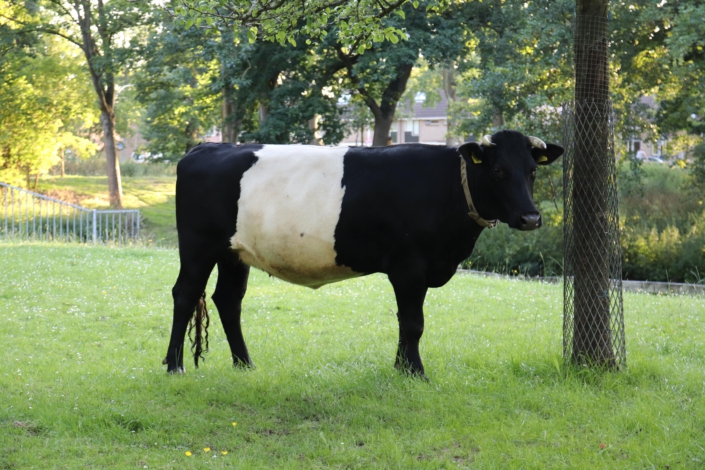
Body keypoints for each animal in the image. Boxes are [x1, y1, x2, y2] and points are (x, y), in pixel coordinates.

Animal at [163, 130, 563, 378]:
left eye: (531, 171)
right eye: (497, 170)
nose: (530, 217)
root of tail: (206, 146)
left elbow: (406, 322)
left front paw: (403, 369)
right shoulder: (409, 266)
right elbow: (413, 322)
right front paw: (414, 372)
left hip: (235, 252)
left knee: (228, 300)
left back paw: (245, 364)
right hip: (198, 245)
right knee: (185, 294)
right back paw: (174, 365)